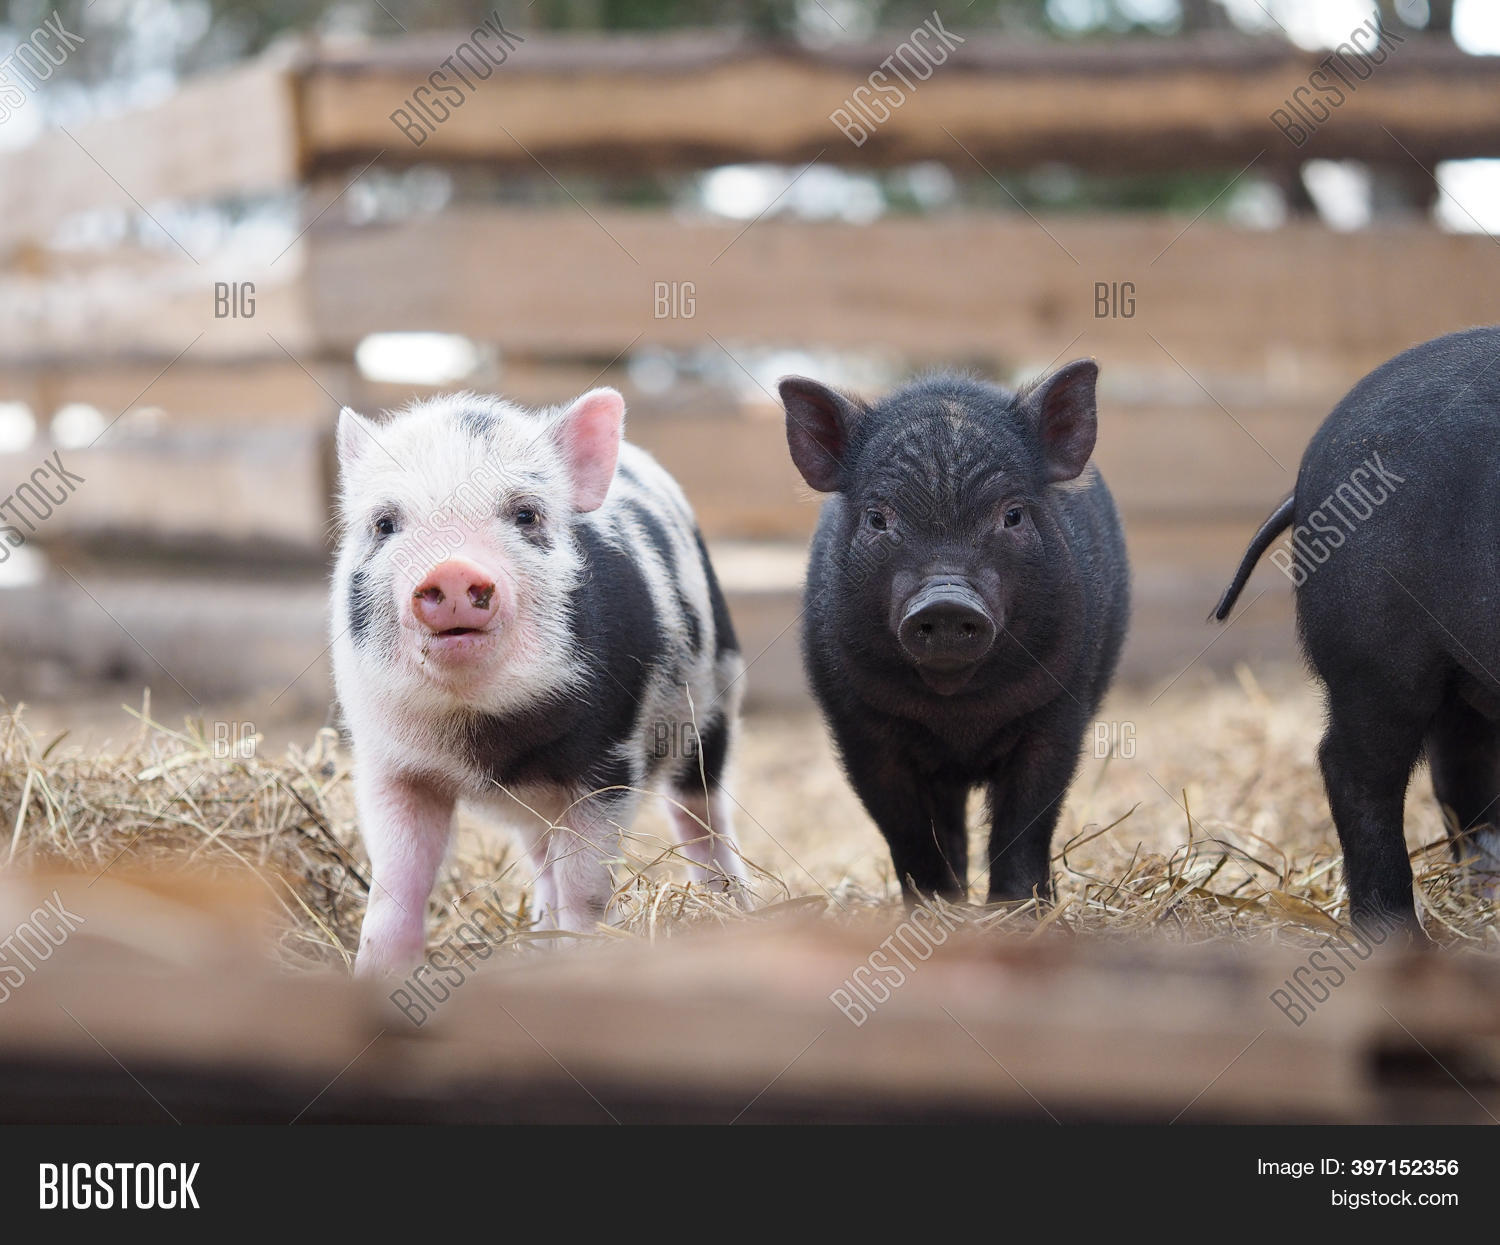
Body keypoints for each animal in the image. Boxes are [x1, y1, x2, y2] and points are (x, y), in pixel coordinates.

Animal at [331, 388, 750, 976]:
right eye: (385, 524)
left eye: (526, 514)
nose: (451, 569)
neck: (483, 738)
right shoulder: (390, 764)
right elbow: (396, 881)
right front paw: (376, 975)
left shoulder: (609, 758)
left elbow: (586, 885)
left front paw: (582, 956)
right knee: (542, 858)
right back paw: (536, 937)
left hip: (714, 705)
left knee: (702, 814)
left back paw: (735, 907)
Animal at [779, 361, 1130, 905]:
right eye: (878, 518)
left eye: (1012, 514)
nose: (946, 601)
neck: (959, 719)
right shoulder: (862, 729)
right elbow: (909, 833)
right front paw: (935, 910)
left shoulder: (1058, 712)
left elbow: (1025, 824)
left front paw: (1020, 910)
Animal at [1214, 326, 1500, 935]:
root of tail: (1307, 474)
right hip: (1376, 654)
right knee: (1354, 768)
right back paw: (1399, 934)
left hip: (1456, 670)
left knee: (1461, 767)